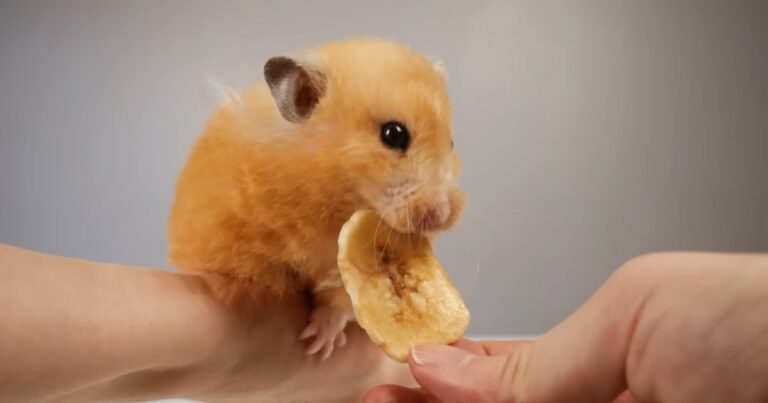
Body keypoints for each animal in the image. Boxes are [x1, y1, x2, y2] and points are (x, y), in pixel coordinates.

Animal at [167, 37, 466, 360]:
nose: (440, 216)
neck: (333, 200)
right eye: (394, 134)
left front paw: (318, 343)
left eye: (451, 142)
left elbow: (340, 302)